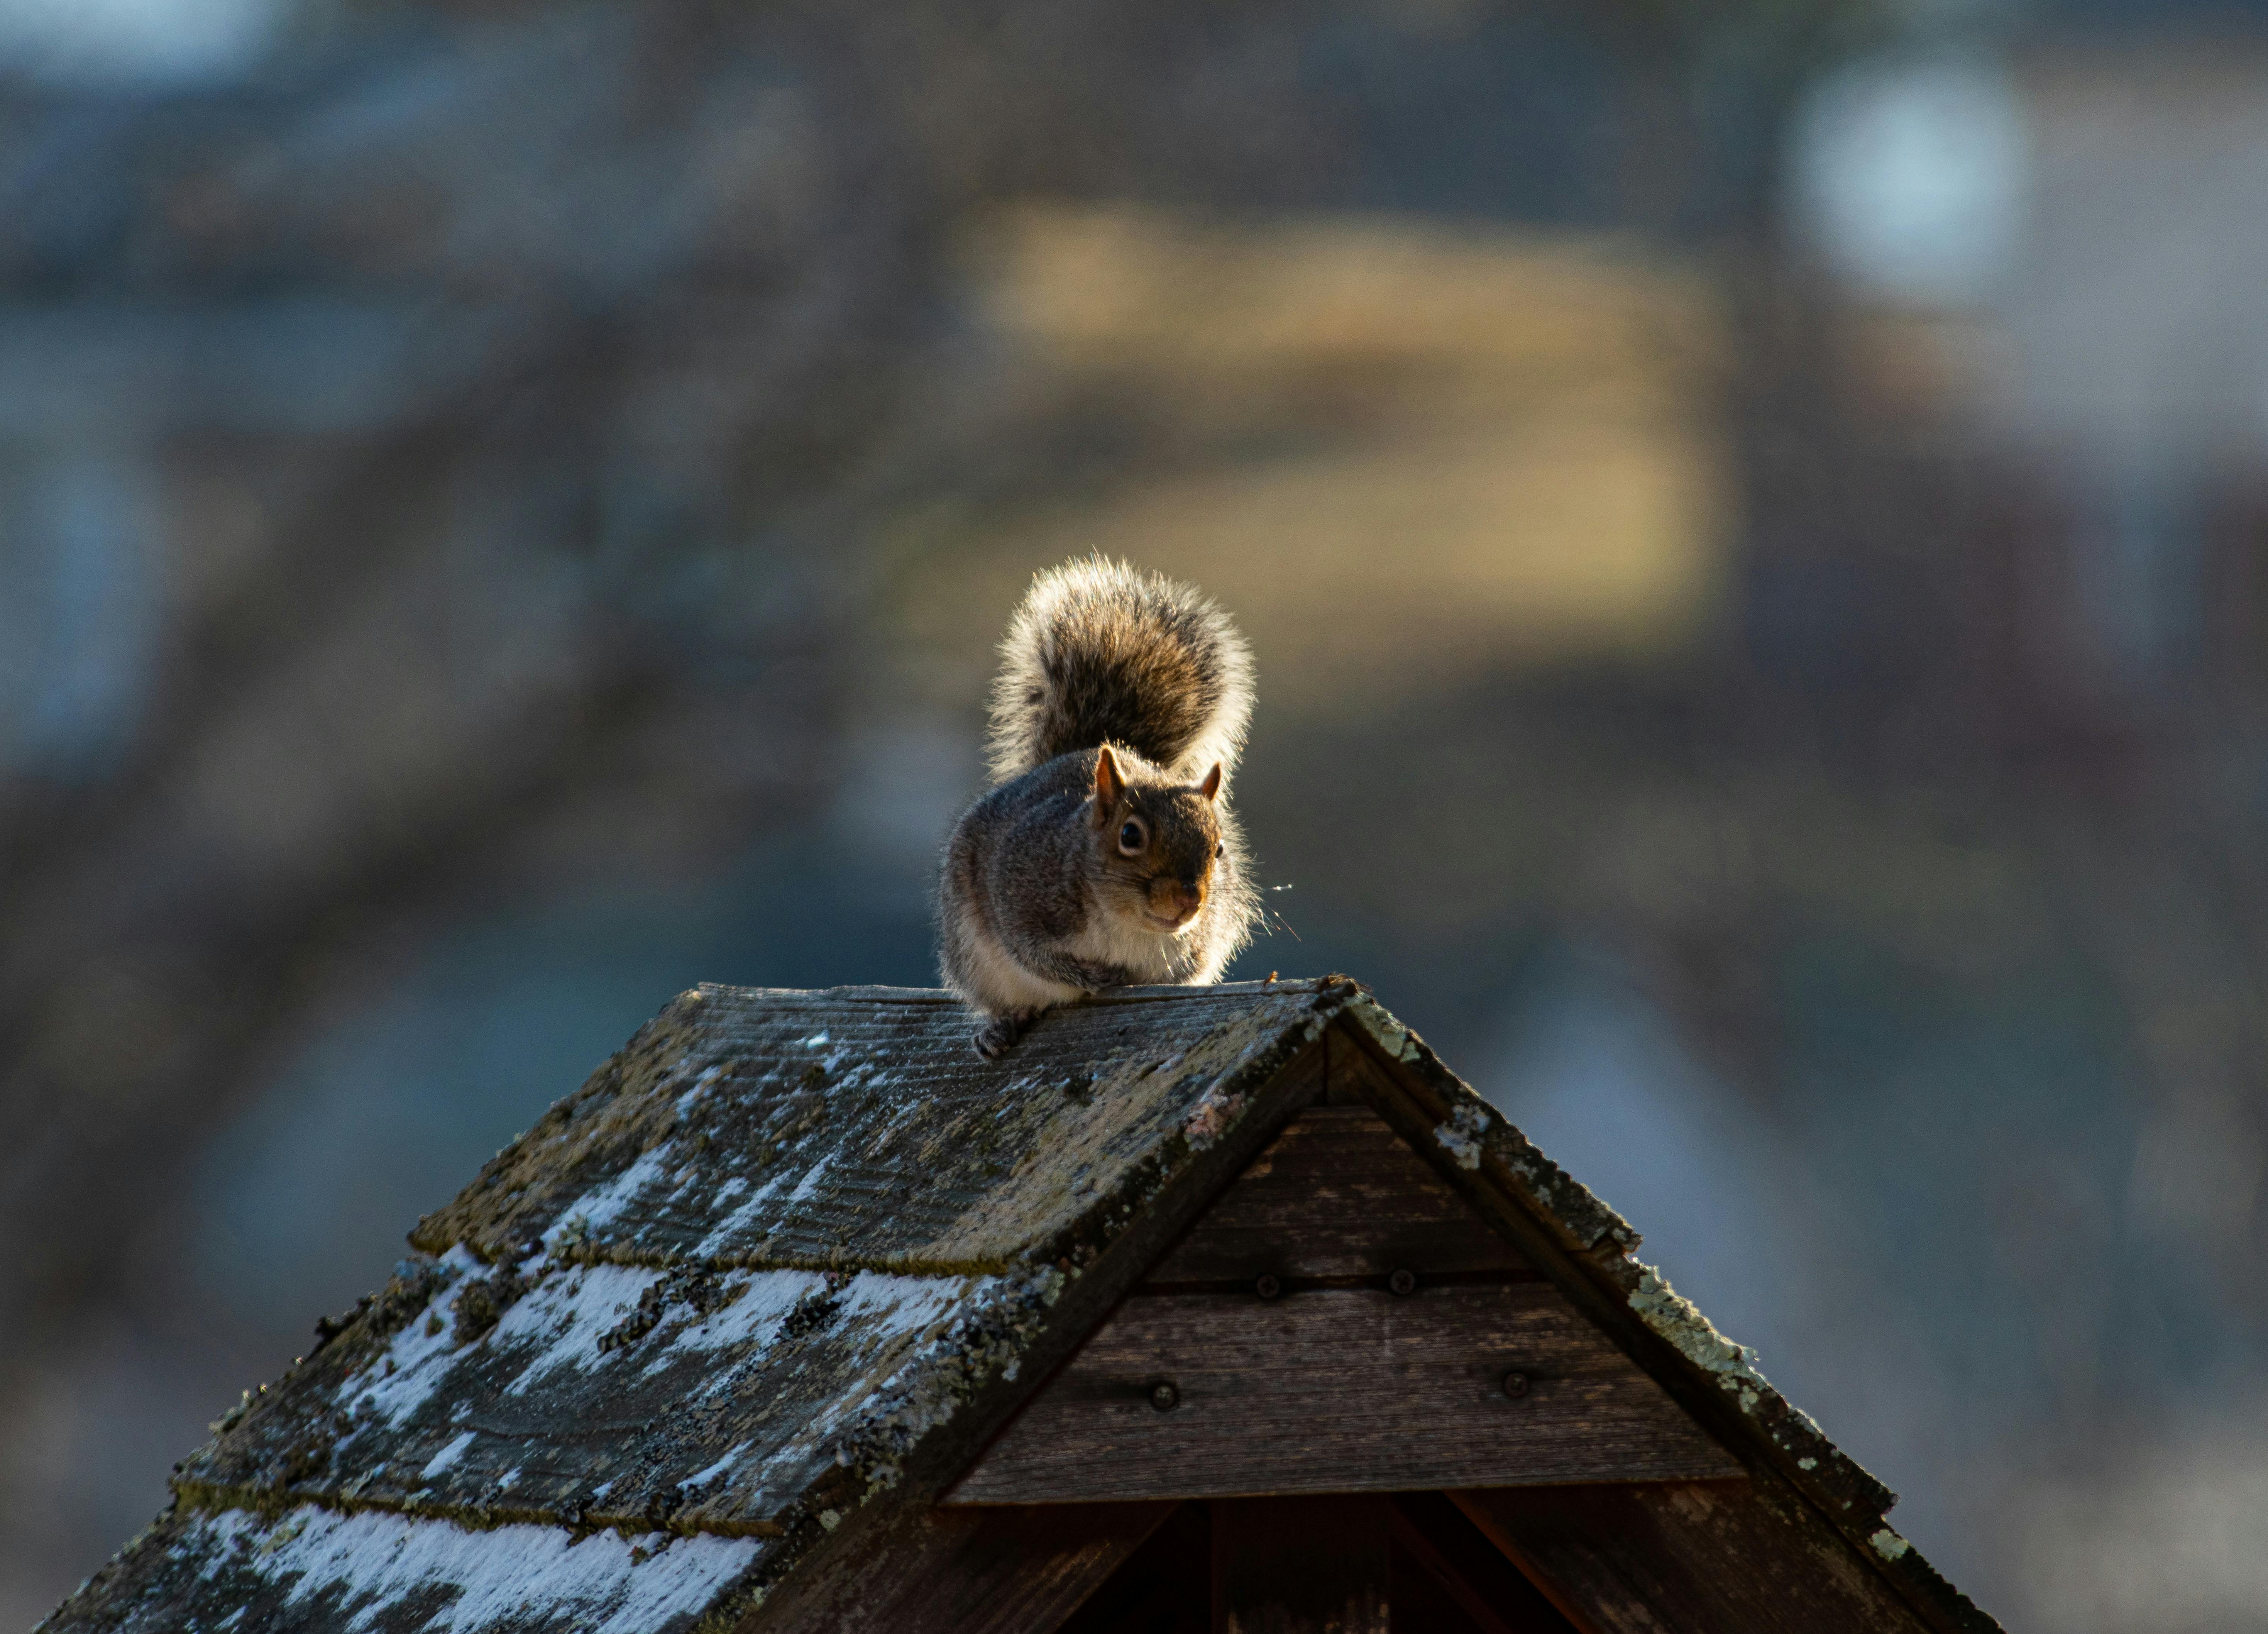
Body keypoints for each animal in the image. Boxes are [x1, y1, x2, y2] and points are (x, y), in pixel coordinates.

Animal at [937, 556, 1260, 1058]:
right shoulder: (1021, 894)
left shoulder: (1197, 947)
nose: (1189, 899)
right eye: (1129, 836)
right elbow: (1034, 955)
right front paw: (1093, 975)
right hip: (972, 954)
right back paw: (1000, 1027)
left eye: (1220, 849)